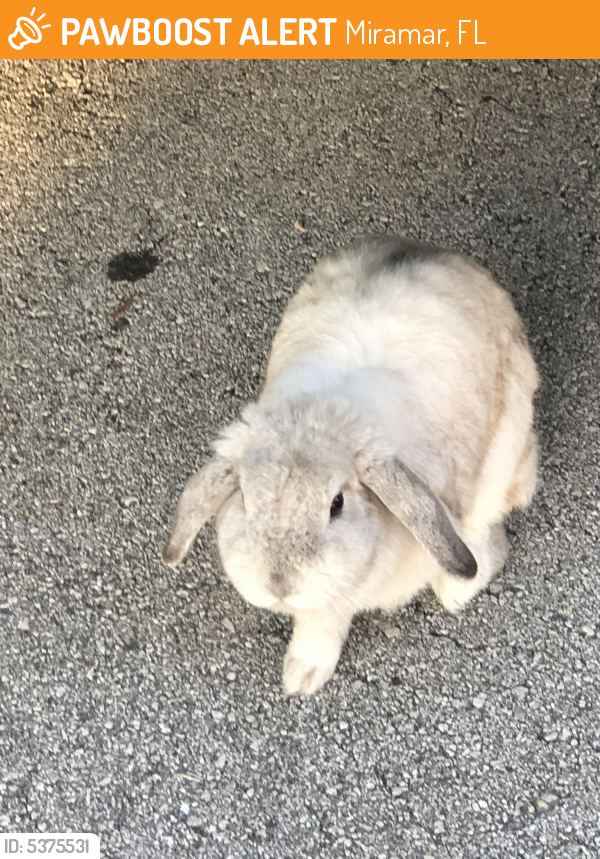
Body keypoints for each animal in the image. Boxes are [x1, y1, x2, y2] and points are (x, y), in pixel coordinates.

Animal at [163, 236, 539, 696]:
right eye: (246, 500)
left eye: (337, 504)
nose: (280, 585)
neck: (323, 413)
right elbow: (320, 625)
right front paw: (301, 677)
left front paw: (468, 579)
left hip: (508, 444)